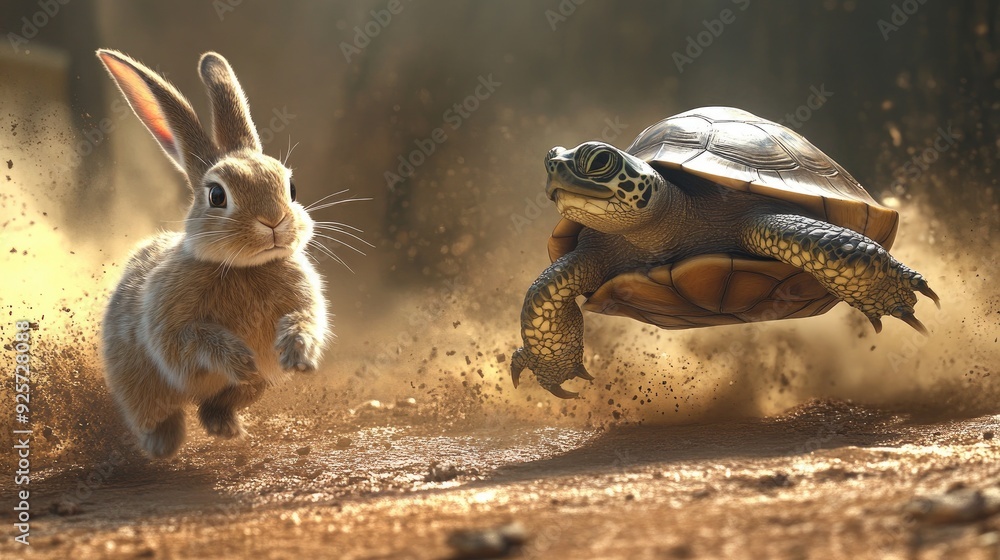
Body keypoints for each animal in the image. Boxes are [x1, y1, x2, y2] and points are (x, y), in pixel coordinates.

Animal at [97, 49, 329, 459]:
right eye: (217, 196)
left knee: (226, 400)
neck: (242, 266)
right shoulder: (173, 329)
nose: (273, 221)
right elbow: (196, 340)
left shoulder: (303, 302)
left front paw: (299, 356)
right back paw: (162, 446)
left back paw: (224, 427)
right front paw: (240, 359)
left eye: (291, 188)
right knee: (154, 411)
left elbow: (304, 319)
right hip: (135, 382)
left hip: (256, 389)